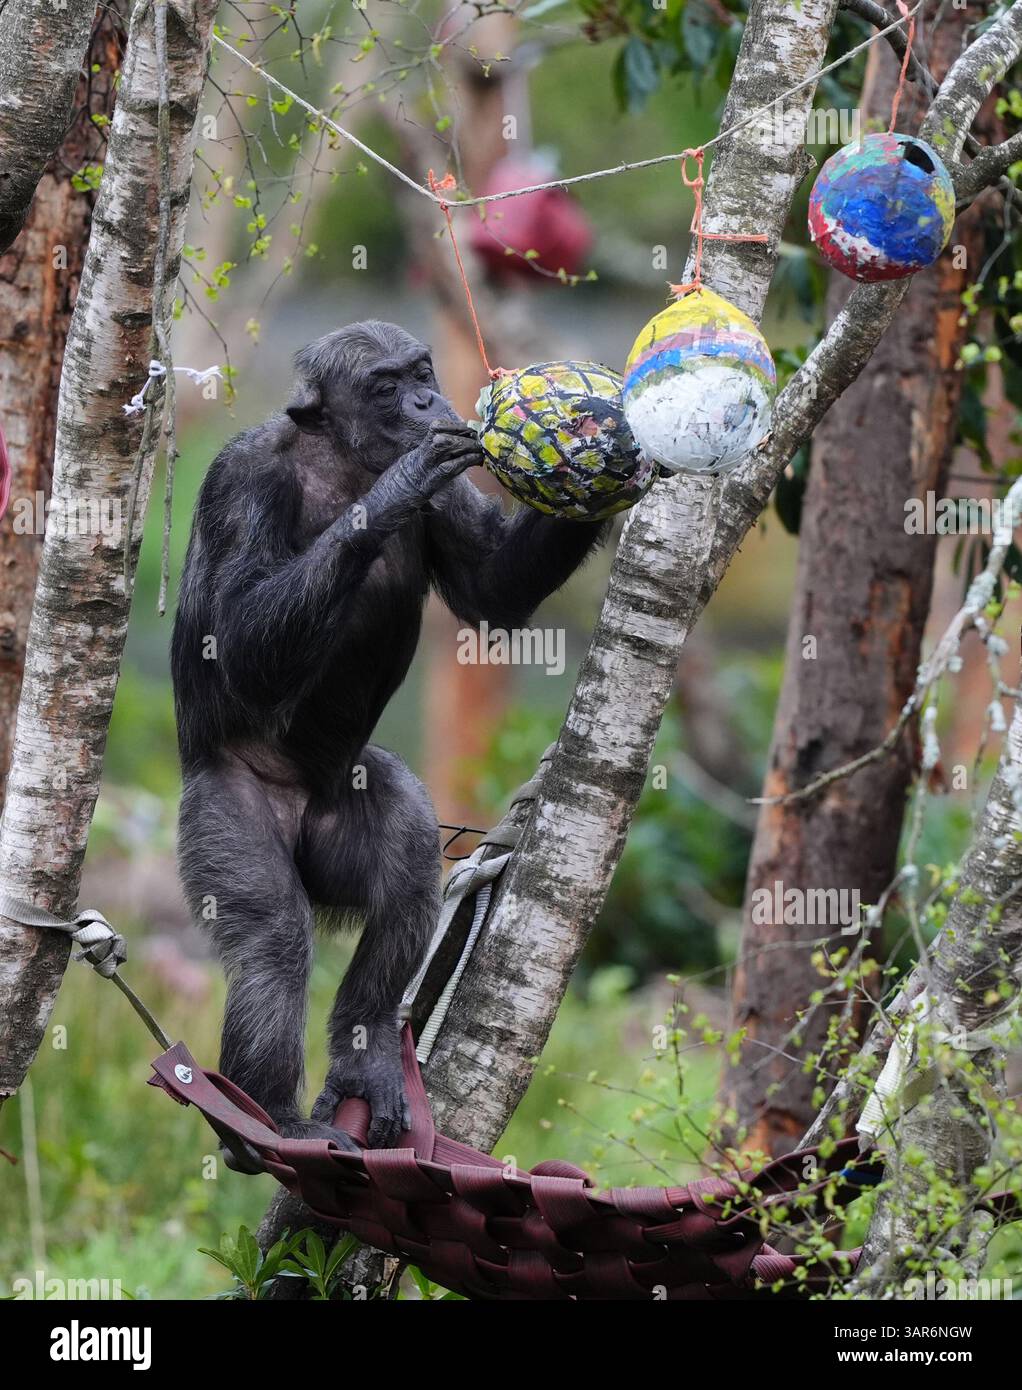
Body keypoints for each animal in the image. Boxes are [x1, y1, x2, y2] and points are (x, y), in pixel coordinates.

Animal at [171, 320, 605, 1167]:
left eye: (422, 372)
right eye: (384, 384)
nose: (427, 402)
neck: (341, 461)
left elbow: (491, 586)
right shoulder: (240, 481)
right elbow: (234, 640)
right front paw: (398, 487)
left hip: (354, 800)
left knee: (407, 880)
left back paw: (365, 1063)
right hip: (225, 806)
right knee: (272, 934)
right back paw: (267, 1120)